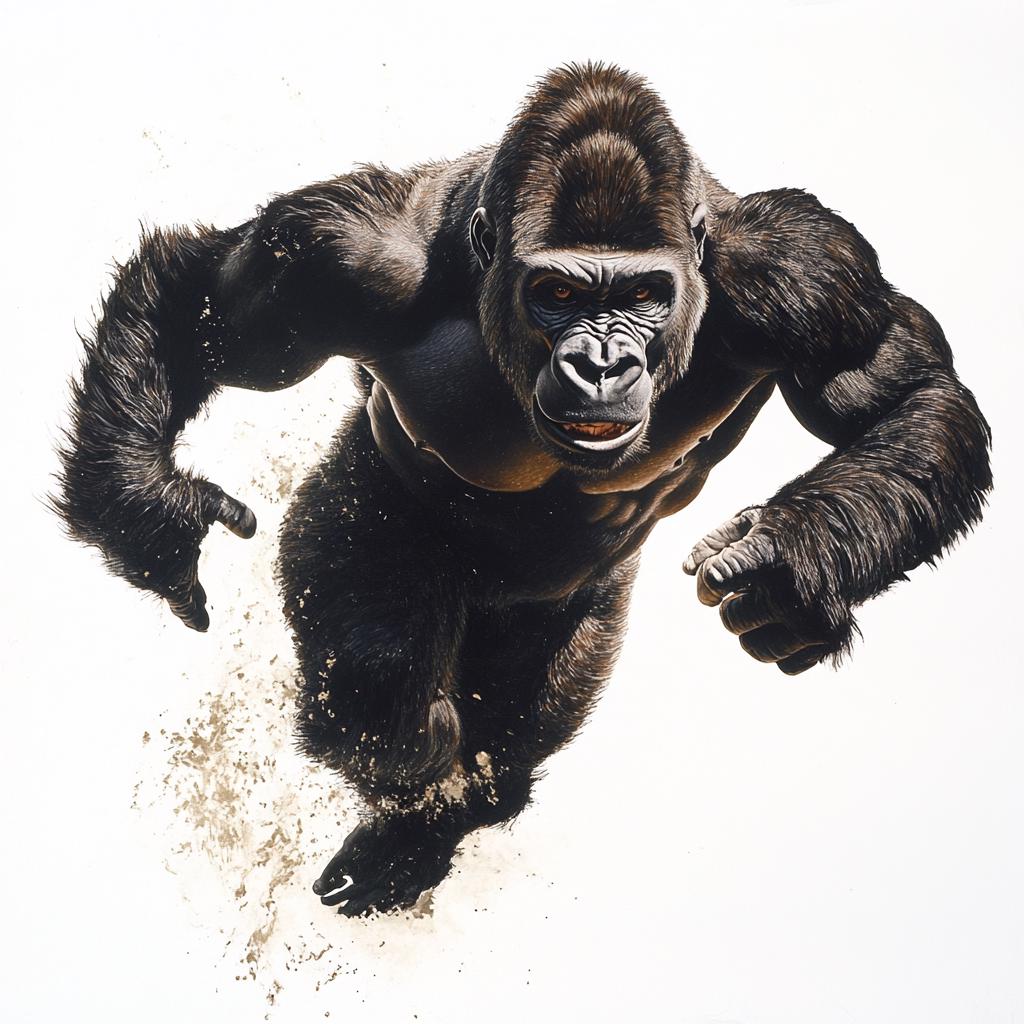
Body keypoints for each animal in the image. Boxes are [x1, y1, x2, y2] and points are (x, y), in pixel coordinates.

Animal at [56, 63, 992, 916]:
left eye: (644, 293)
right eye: (558, 292)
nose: (602, 362)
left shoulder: (804, 271)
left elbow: (904, 391)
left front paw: (791, 570)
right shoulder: (336, 259)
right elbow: (201, 311)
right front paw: (150, 516)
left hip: (588, 603)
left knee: (525, 717)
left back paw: (431, 828)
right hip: (354, 493)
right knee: (381, 696)